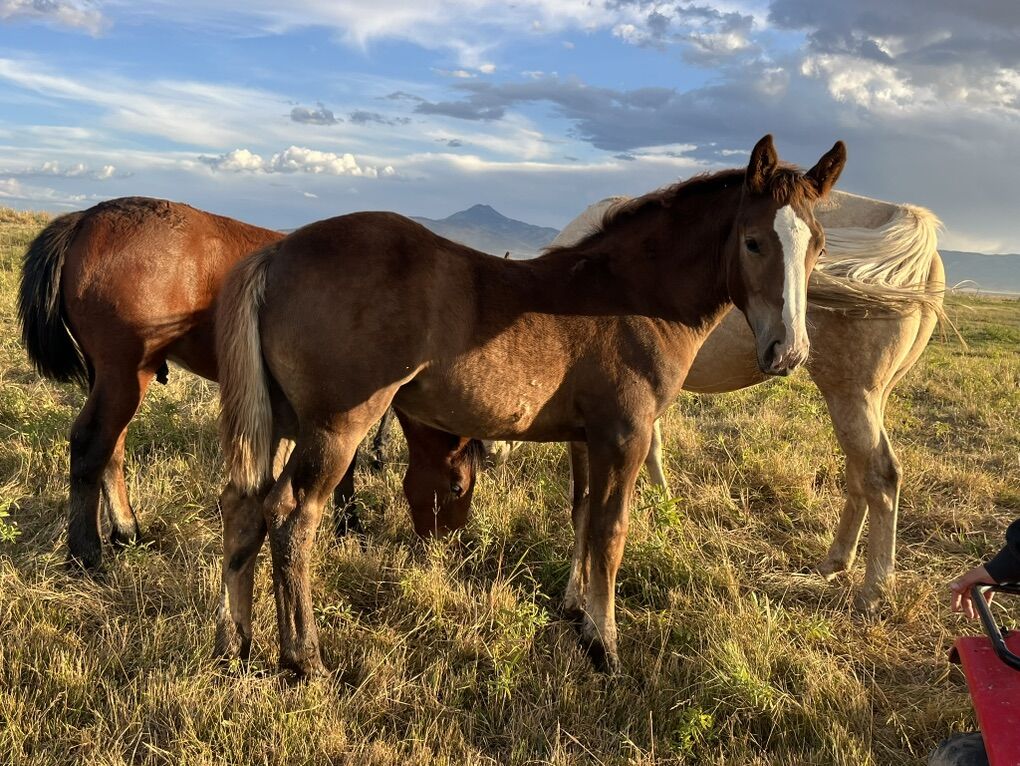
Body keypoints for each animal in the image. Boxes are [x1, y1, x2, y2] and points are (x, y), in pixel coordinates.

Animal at [17, 197, 477, 571]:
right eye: (458, 486)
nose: (447, 546)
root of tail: (86, 218)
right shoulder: (337, 410)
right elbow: (340, 474)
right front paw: (352, 529)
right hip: (124, 375)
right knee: (92, 444)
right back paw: (86, 553)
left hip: (114, 379)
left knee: (112, 448)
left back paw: (127, 531)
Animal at [213, 135, 847, 676]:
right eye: (753, 240)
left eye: (817, 246)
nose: (788, 352)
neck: (631, 295)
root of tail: (277, 252)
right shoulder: (626, 434)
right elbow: (611, 530)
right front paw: (606, 647)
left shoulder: (586, 437)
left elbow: (582, 514)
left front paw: (577, 615)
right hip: (335, 428)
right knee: (291, 518)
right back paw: (304, 660)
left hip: (279, 422)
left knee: (242, 507)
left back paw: (235, 646)